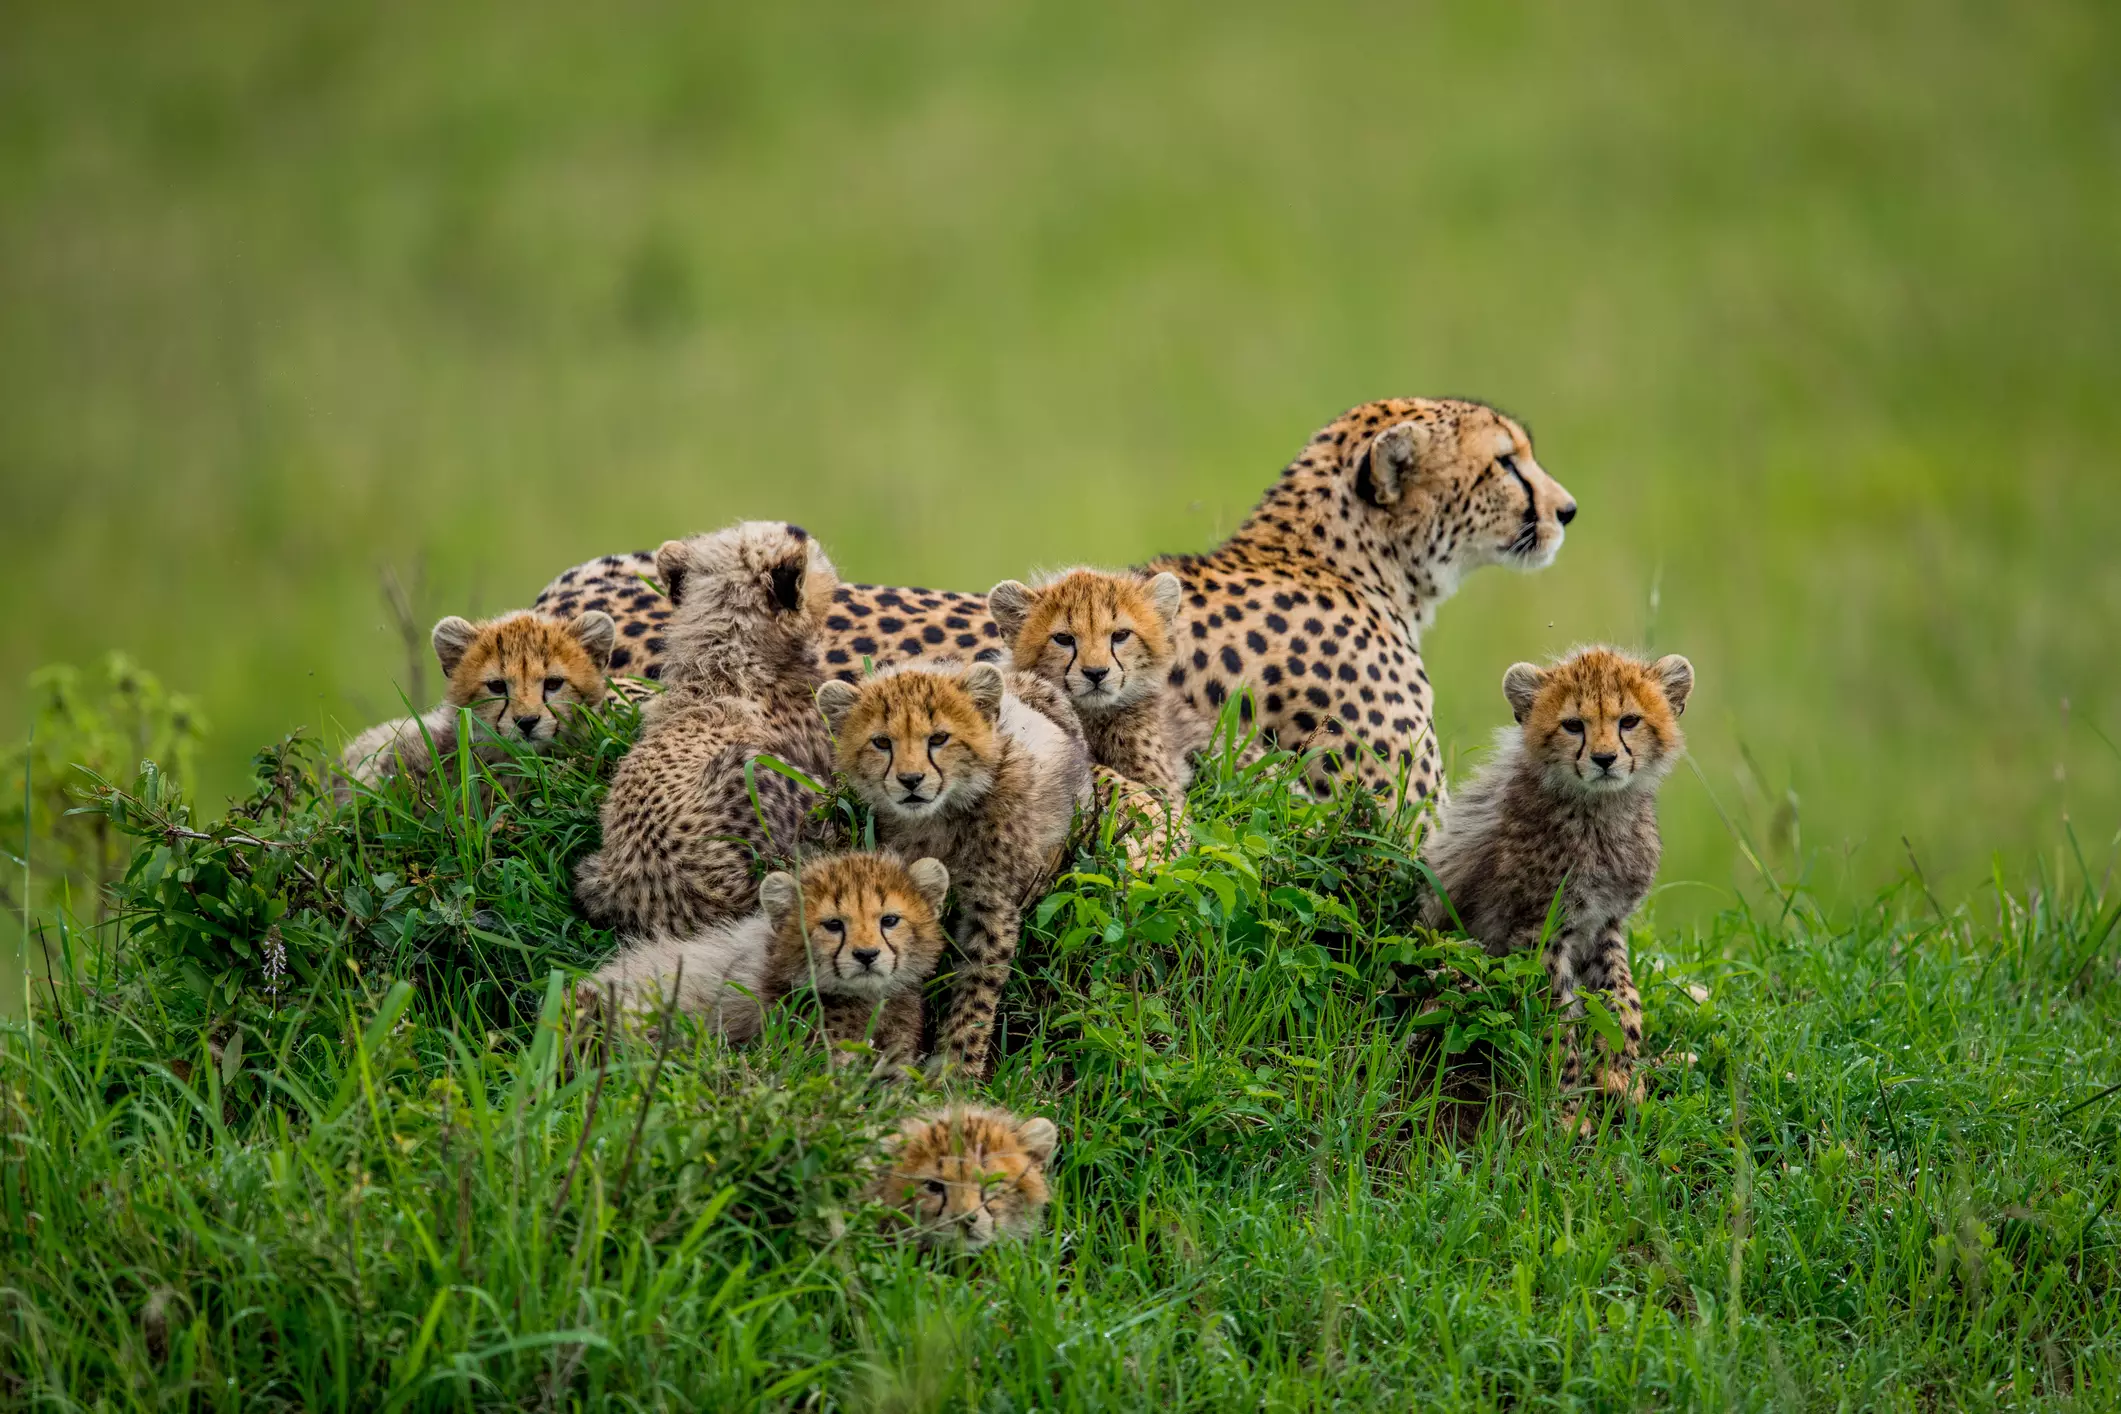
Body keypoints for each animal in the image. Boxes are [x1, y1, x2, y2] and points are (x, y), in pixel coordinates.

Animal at [801, 665, 1085, 1085]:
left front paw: (956, 1071)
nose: (911, 780)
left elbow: (977, 990)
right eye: (882, 742)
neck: (938, 819)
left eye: (938, 738)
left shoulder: (992, 907)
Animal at [1416, 648, 1696, 1119]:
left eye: (1629, 721)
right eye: (1572, 725)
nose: (1604, 759)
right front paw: (1565, 1108)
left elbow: (1624, 997)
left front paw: (1620, 1076)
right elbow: (1557, 1022)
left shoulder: (1603, 923)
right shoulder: (1539, 934)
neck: (1599, 812)